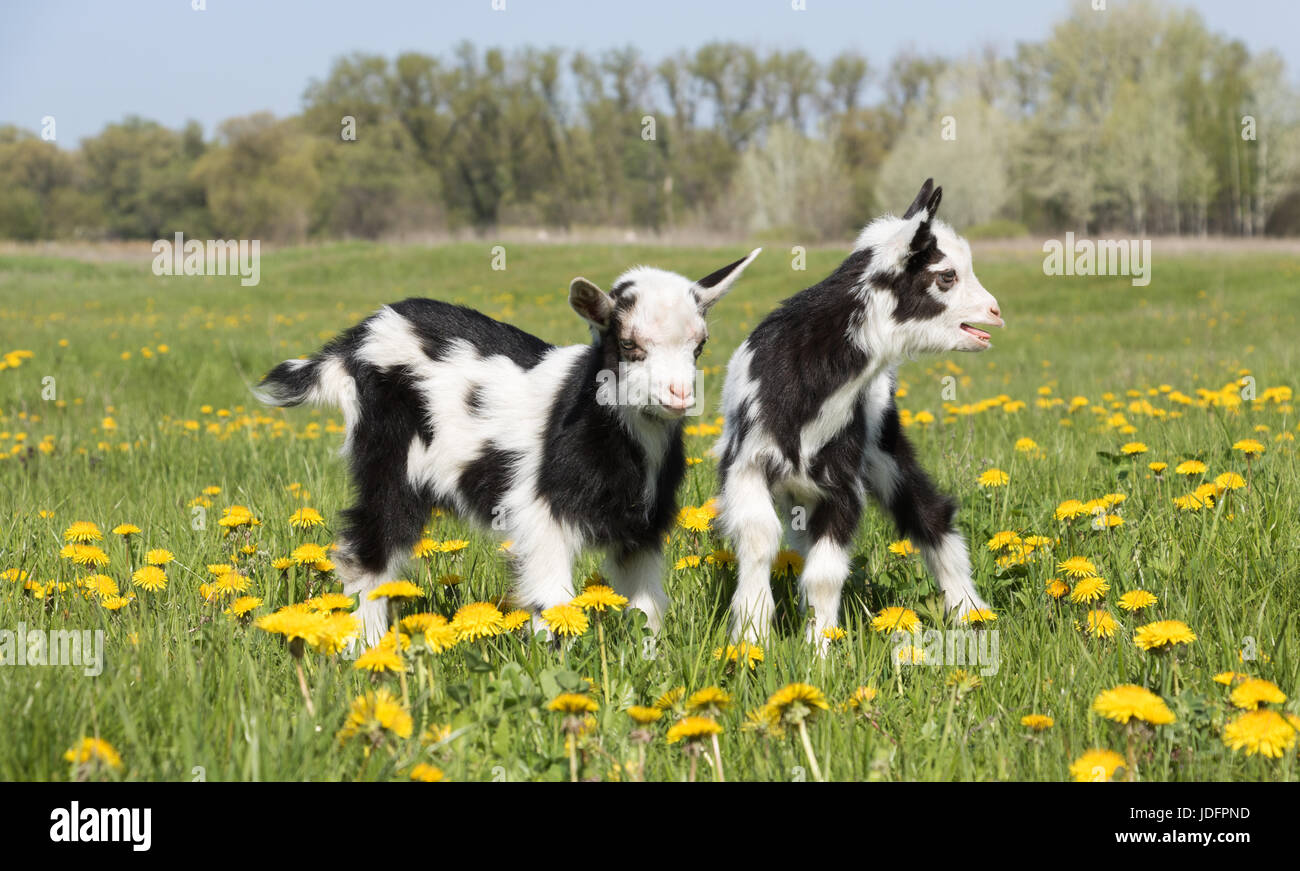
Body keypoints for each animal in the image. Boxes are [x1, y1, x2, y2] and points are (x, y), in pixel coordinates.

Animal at [256, 250, 760, 646]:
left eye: (700, 346)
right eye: (629, 344)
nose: (679, 395)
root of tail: (358, 339)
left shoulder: (644, 530)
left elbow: (647, 607)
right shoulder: (541, 515)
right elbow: (554, 603)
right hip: (390, 462)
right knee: (368, 548)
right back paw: (366, 647)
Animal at [715, 179, 1002, 645]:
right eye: (947, 275)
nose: (995, 312)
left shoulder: (841, 482)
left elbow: (825, 574)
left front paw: (818, 651)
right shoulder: (746, 463)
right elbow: (760, 538)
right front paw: (751, 637)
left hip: (884, 447)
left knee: (928, 513)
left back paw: (970, 613)